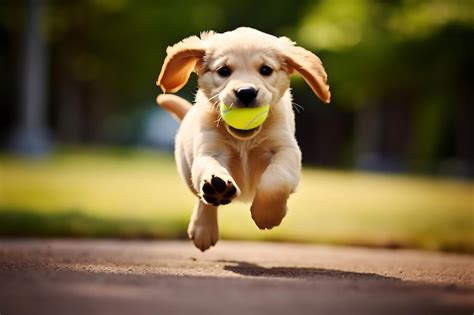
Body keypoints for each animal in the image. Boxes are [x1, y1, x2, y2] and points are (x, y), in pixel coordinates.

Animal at [156, 28, 330, 253]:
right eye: (223, 70)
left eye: (265, 70)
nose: (246, 92)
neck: (244, 140)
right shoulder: (208, 151)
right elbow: (209, 168)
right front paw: (217, 185)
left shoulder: (286, 150)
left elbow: (276, 180)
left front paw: (267, 215)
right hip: (186, 170)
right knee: (202, 199)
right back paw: (204, 225)